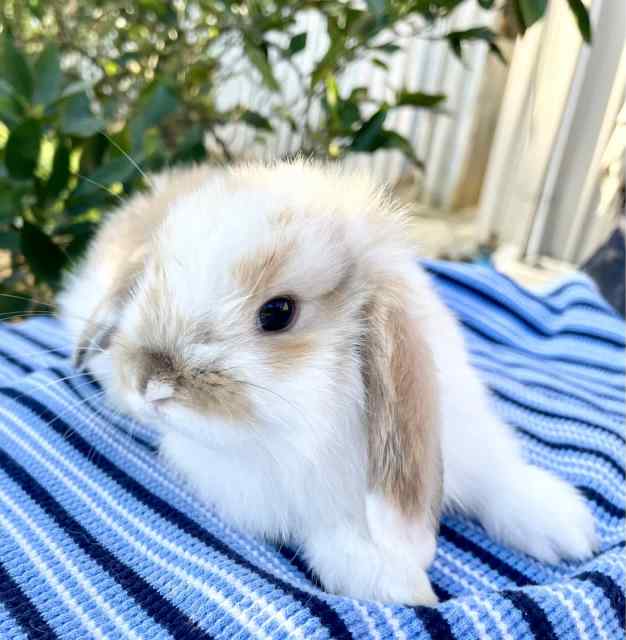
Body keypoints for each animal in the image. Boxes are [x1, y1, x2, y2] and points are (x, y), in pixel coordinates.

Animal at [58, 159, 597, 605]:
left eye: (277, 313)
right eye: (151, 284)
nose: (149, 384)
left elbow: (499, 479)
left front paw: (568, 528)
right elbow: (333, 537)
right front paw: (398, 581)